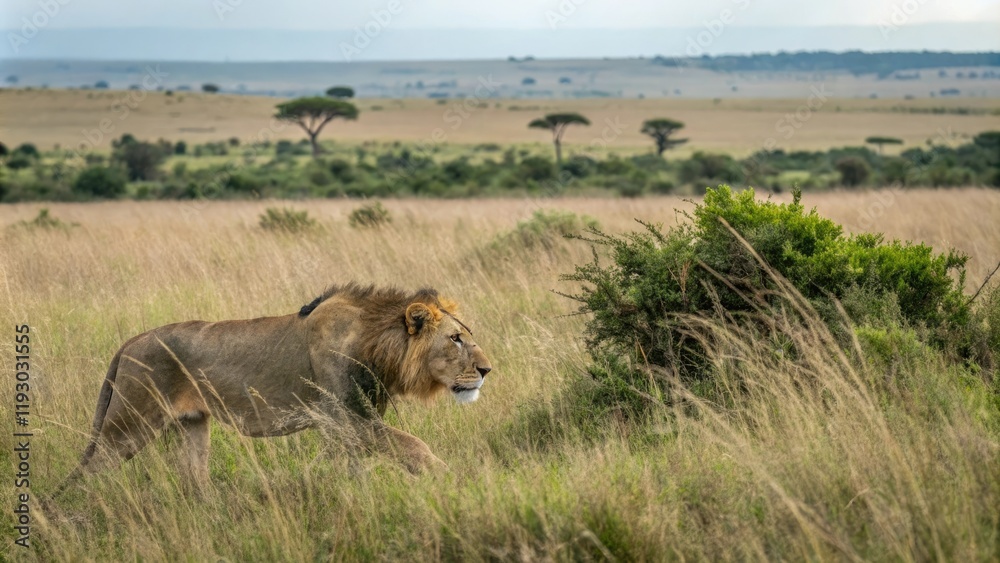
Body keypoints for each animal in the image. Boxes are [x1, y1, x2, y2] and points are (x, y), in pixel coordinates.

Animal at [63, 284, 492, 489]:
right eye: (455, 339)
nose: (487, 369)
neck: (376, 345)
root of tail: (130, 342)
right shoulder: (343, 418)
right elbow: (414, 445)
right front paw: (453, 480)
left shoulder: (347, 426)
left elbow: (346, 467)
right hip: (128, 425)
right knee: (90, 472)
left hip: (193, 424)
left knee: (193, 477)